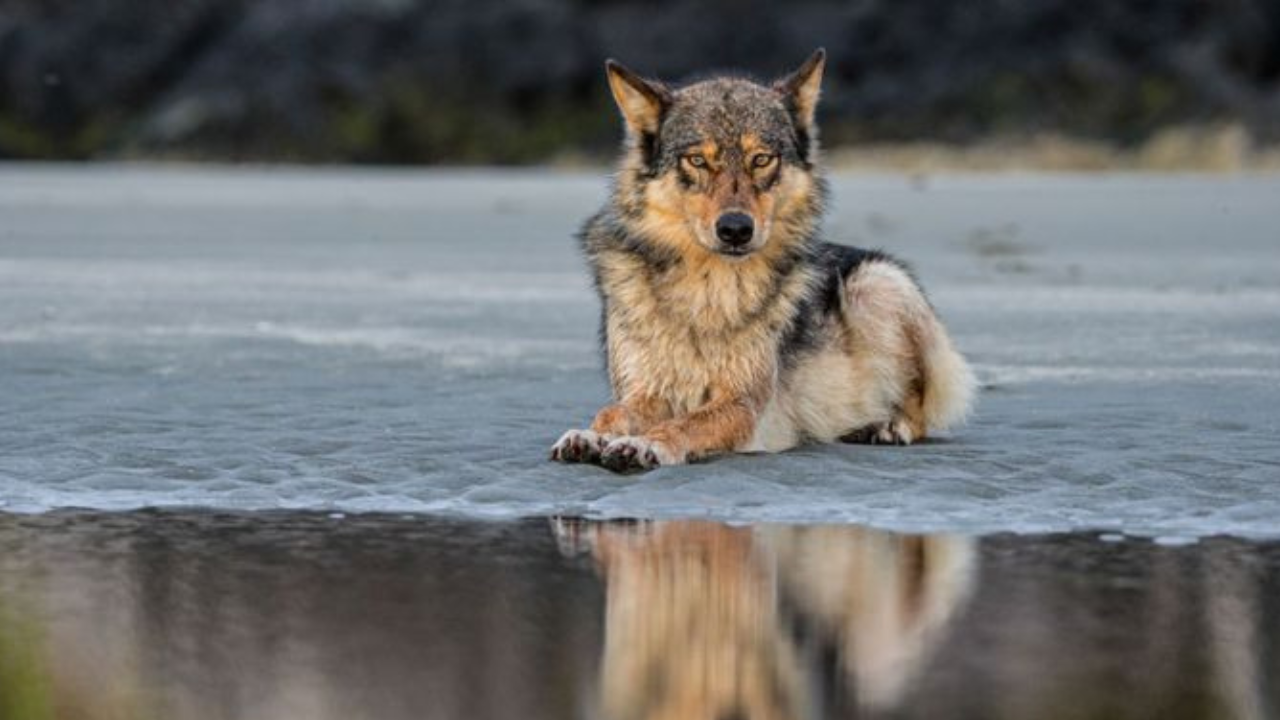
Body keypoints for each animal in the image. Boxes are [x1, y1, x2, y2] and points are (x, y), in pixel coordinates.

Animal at [551, 49, 975, 472]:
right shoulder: (645, 390)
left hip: (874, 283)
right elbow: (612, 412)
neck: (707, 288)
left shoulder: (742, 403)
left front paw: (646, 443)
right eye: (698, 161)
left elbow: (686, 423)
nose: (736, 229)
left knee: (921, 406)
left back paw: (887, 424)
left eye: (761, 160)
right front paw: (590, 435)